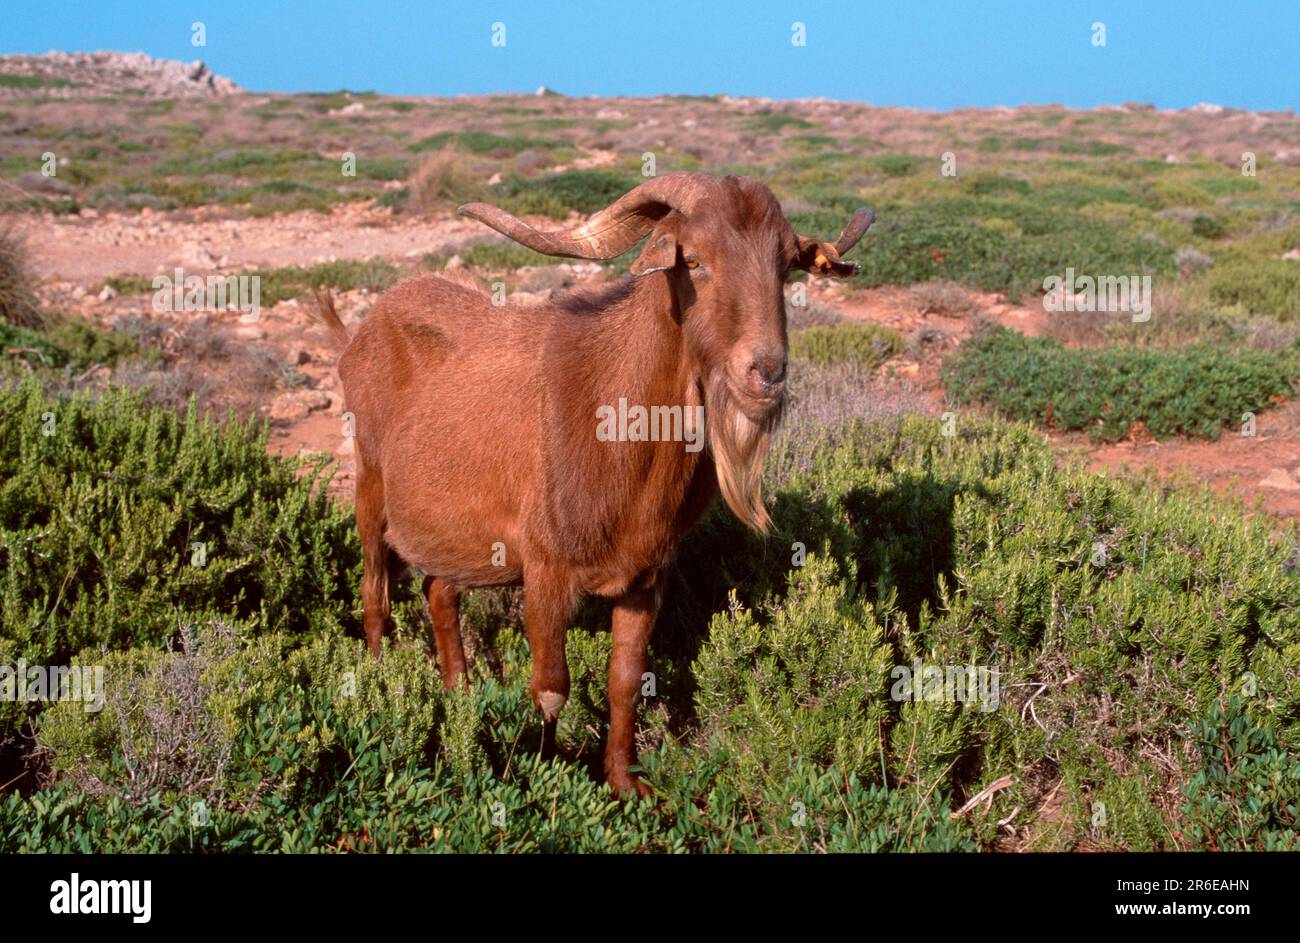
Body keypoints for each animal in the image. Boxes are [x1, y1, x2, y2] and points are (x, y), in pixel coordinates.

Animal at [319, 173, 874, 796]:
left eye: (784, 267)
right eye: (695, 261)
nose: (766, 373)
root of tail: (361, 330)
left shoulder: (646, 575)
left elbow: (625, 678)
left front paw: (626, 786)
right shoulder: (545, 570)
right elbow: (550, 687)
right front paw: (546, 774)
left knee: (440, 592)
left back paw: (457, 694)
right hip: (368, 485)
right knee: (375, 597)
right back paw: (379, 688)